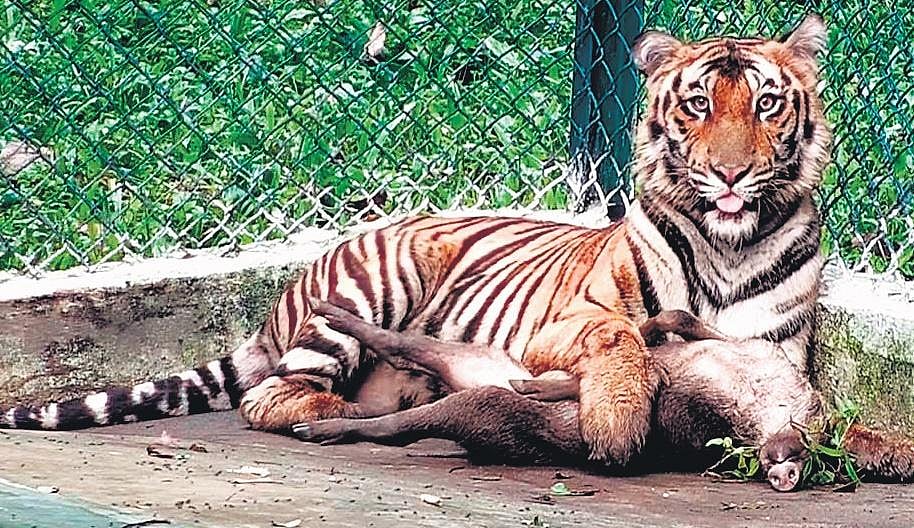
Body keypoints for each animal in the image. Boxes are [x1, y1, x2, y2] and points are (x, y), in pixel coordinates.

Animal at [1, 15, 831, 465]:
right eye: (698, 104)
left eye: (765, 104)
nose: (729, 174)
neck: (727, 243)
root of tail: (284, 299)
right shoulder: (564, 325)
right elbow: (621, 339)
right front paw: (616, 419)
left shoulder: (777, 351)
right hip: (371, 290)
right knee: (271, 396)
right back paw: (341, 411)